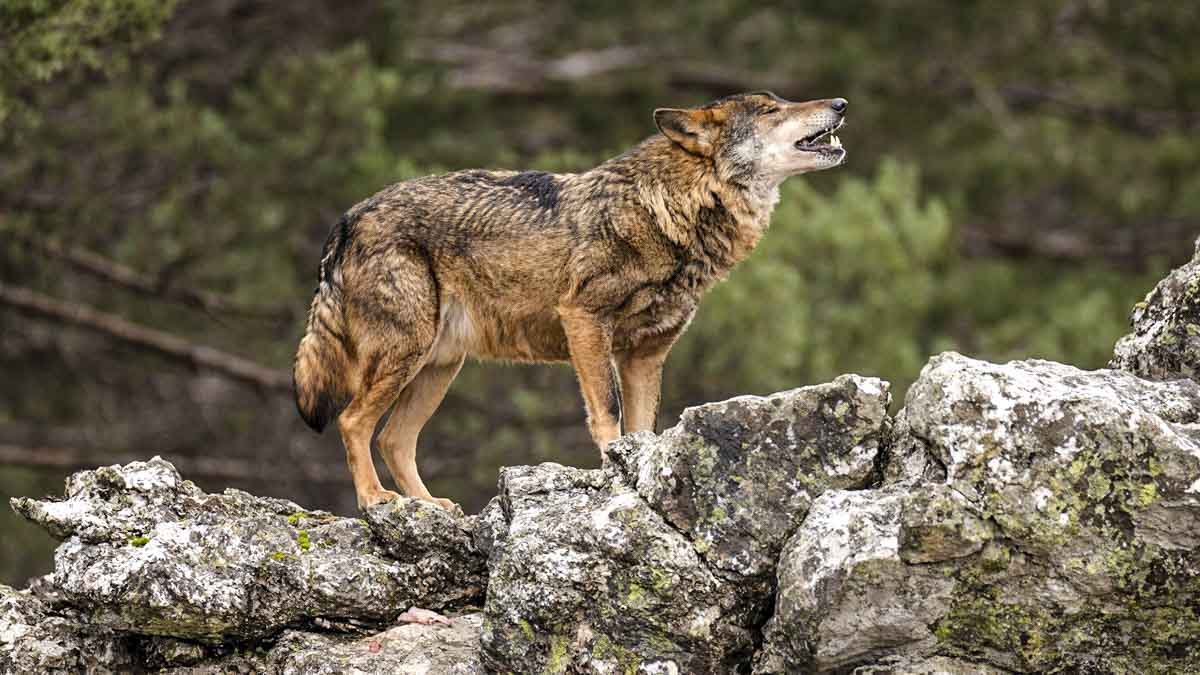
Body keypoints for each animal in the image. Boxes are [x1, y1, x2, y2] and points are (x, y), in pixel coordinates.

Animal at [294, 91, 848, 510]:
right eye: (770, 110)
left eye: (783, 102)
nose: (840, 102)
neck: (669, 210)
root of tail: (348, 218)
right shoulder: (584, 321)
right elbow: (608, 412)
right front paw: (613, 476)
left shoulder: (646, 356)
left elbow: (642, 428)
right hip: (406, 355)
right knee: (353, 421)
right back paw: (374, 499)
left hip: (438, 368)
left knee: (393, 438)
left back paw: (430, 506)